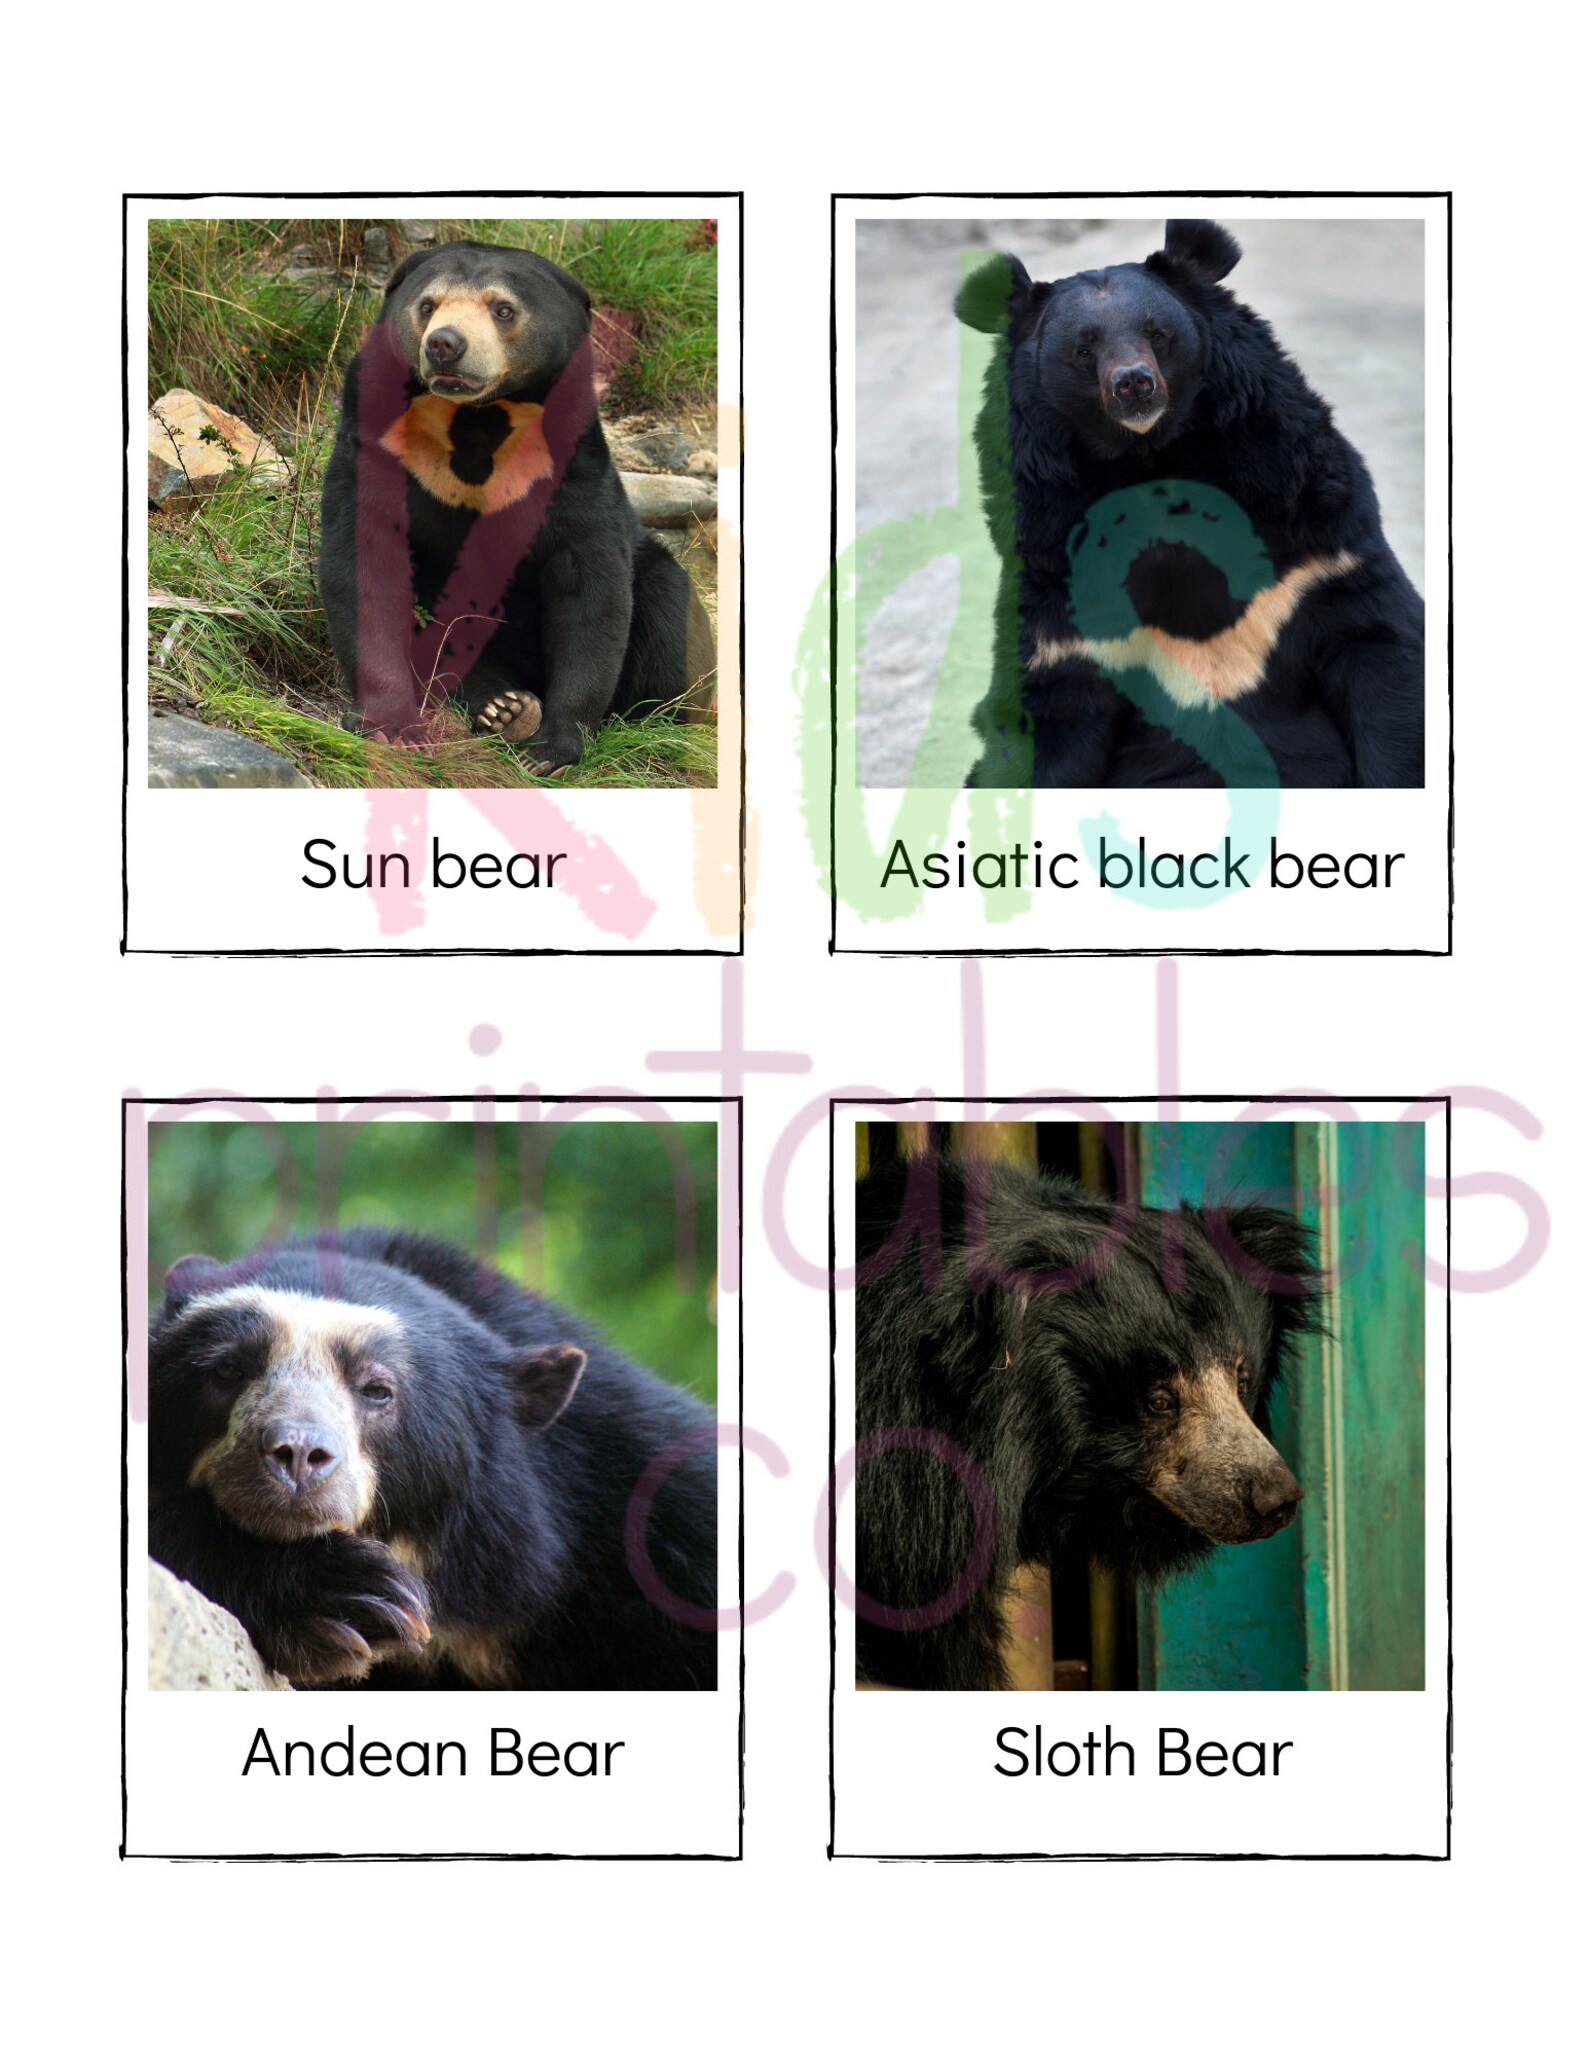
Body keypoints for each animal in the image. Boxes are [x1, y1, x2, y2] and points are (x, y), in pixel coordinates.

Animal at [319, 240, 715, 771]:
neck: (476, 421)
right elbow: (365, 562)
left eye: (502, 309)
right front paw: (392, 727)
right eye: (427, 305)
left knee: (668, 613)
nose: (444, 344)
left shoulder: (570, 466)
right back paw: (503, 708)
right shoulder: (376, 443)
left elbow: (590, 589)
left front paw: (551, 751)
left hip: (659, 582)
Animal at [955, 220, 1425, 789]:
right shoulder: (1059, 600)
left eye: (1157, 332)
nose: (1134, 383)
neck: (1151, 463)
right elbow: (1043, 733)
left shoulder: (1314, 546)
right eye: (1083, 349)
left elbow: (1383, 658)